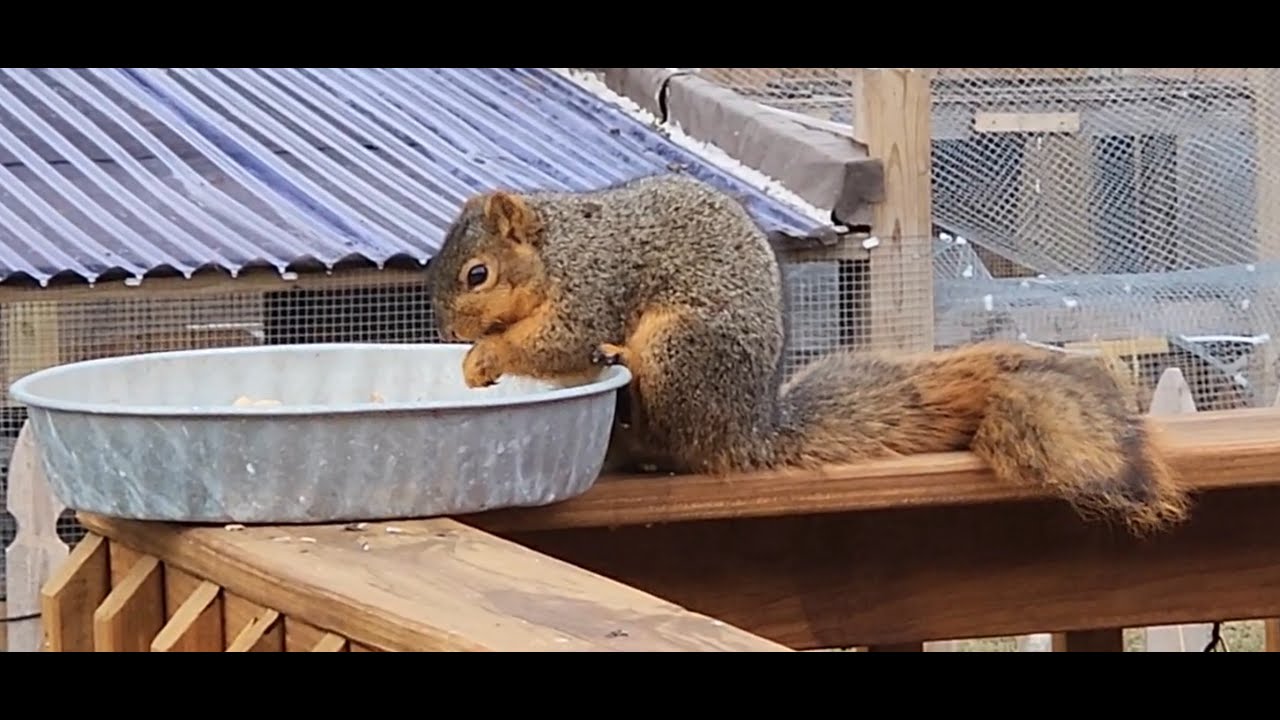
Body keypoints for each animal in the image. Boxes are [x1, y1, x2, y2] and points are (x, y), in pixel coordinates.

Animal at [425, 172, 1190, 537]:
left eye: (477, 275)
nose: (449, 331)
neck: (557, 250)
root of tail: (749, 429)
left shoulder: (594, 282)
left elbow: (559, 338)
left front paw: (485, 357)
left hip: (678, 352)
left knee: (677, 445)